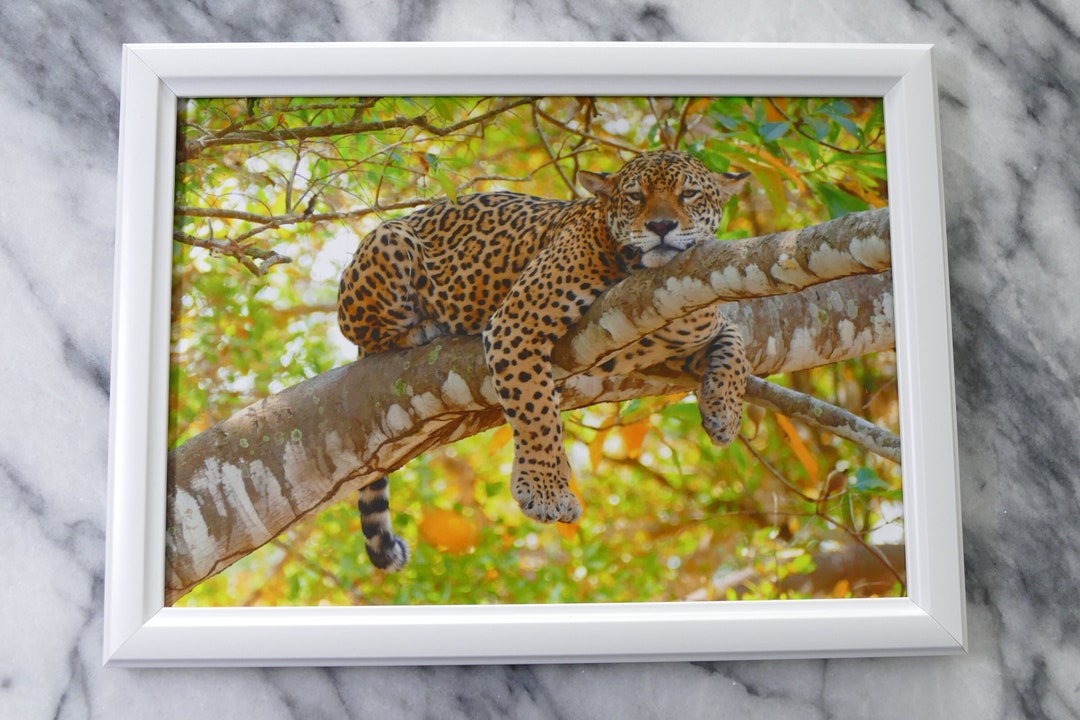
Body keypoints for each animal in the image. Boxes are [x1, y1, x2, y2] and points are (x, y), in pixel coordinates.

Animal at [338, 151, 750, 571]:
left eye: (689, 194)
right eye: (636, 196)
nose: (661, 226)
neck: (642, 274)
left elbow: (736, 346)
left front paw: (725, 414)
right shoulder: (518, 322)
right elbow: (535, 409)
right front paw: (546, 492)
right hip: (389, 240)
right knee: (362, 330)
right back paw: (421, 329)